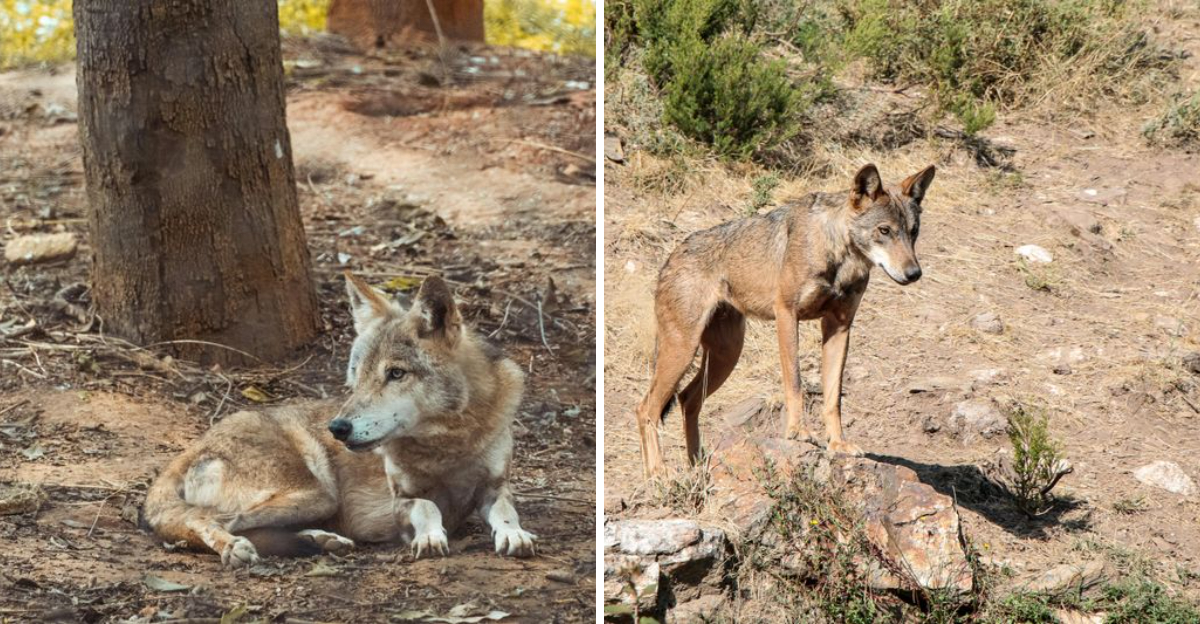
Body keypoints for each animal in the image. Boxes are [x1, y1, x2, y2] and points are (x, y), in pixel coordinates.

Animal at [143, 273, 536, 566]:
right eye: (356, 375)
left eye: (396, 373)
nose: (337, 428)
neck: (449, 443)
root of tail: (187, 450)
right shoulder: (402, 498)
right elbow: (427, 507)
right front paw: (429, 537)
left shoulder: (494, 486)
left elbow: (507, 510)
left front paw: (514, 533)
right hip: (317, 495)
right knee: (208, 519)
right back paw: (236, 548)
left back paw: (323, 540)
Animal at [637, 163, 935, 477]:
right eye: (884, 230)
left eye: (913, 232)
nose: (914, 273)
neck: (838, 254)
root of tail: (671, 256)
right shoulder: (786, 315)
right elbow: (795, 382)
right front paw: (798, 432)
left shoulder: (839, 327)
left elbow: (833, 397)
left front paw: (838, 443)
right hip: (684, 351)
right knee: (646, 408)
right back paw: (657, 473)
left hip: (725, 356)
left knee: (686, 400)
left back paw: (698, 467)